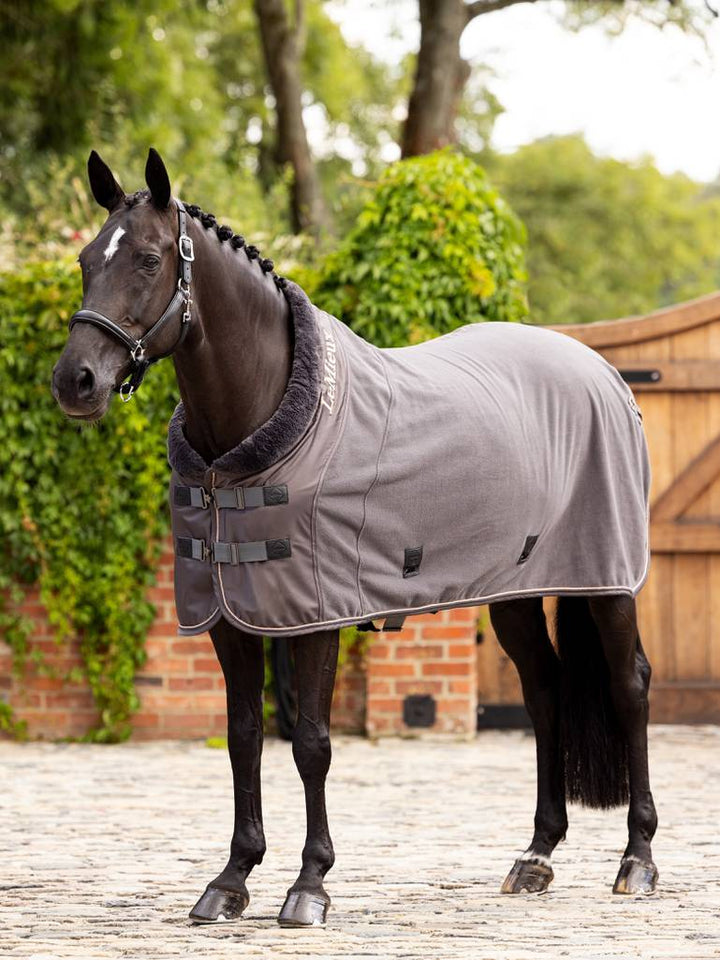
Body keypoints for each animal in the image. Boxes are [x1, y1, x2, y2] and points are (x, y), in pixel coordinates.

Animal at [52, 149, 658, 927]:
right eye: (84, 259)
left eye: (150, 259)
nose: (76, 381)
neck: (258, 426)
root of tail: (602, 372)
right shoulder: (230, 615)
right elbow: (244, 736)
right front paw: (231, 879)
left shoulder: (316, 615)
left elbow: (312, 743)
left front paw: (309, 885)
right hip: (517, 592)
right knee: (546, 690)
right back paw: (536, 856)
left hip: (608, 580)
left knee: (629, 686)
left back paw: (637, 859)